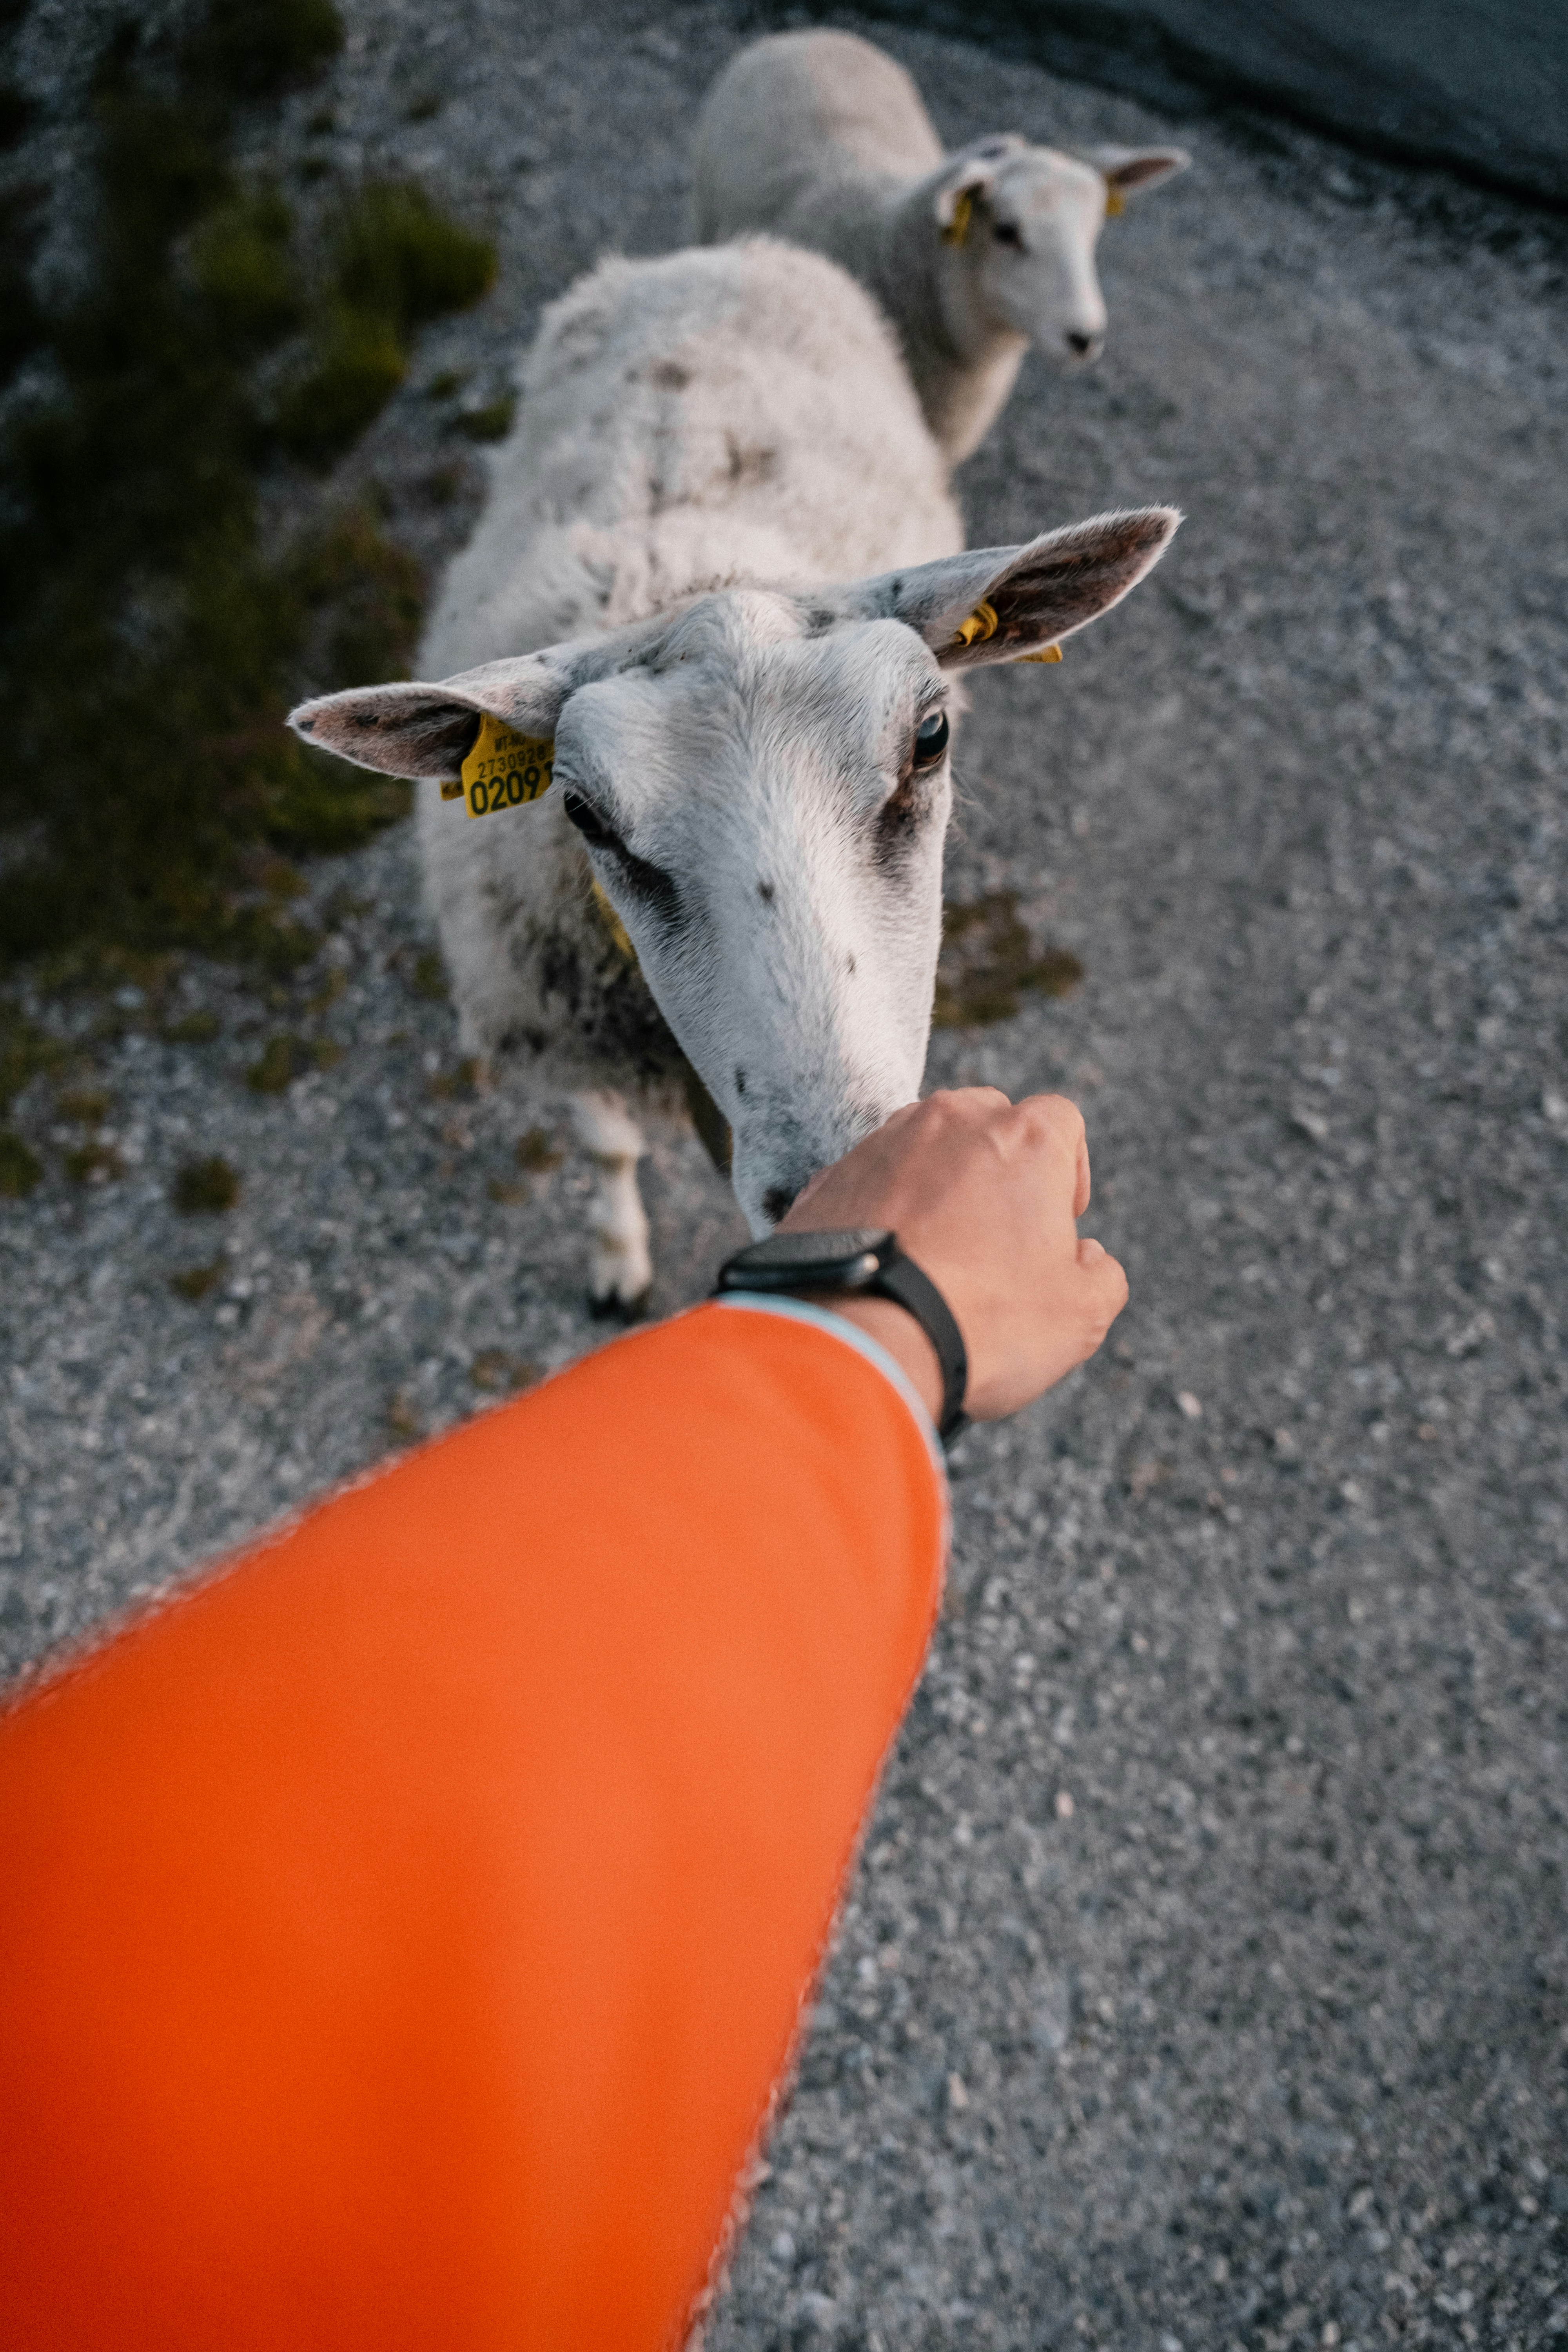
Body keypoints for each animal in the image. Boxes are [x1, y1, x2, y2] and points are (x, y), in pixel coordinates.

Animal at [290, 237, 1177, 1313]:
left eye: (928, 737)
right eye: (581, 814)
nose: (840, 1193)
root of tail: (714, 254)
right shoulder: (563, 1030)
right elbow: (606, 1150)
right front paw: (617, 1257)